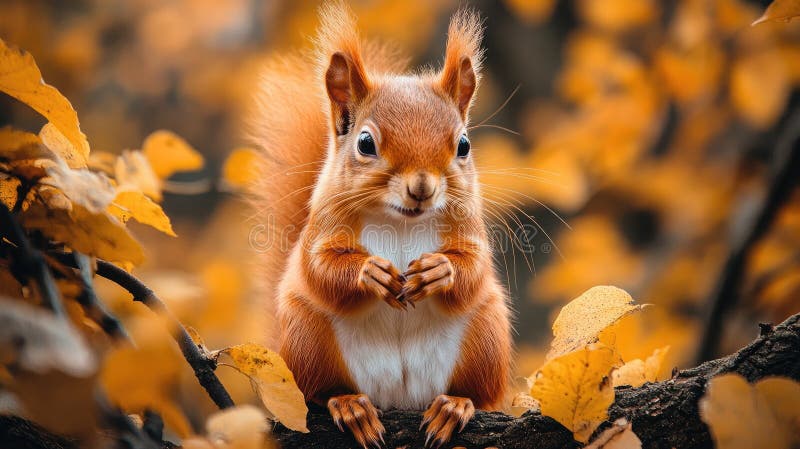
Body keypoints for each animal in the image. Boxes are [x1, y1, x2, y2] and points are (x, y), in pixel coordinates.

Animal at [249, 3, 511, 447]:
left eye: (463, 145)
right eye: (365, 143)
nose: (421, 187)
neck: (399, 221)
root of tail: (398, 397)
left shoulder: (467, 224)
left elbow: (474, 267)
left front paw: (438, 270)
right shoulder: (323, 223)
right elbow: (319, 267)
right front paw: (370, 273)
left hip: (486, 338)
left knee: (480, 393)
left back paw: (454, 406)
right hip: (307, 339)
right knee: (319, 390)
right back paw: (350, 406)